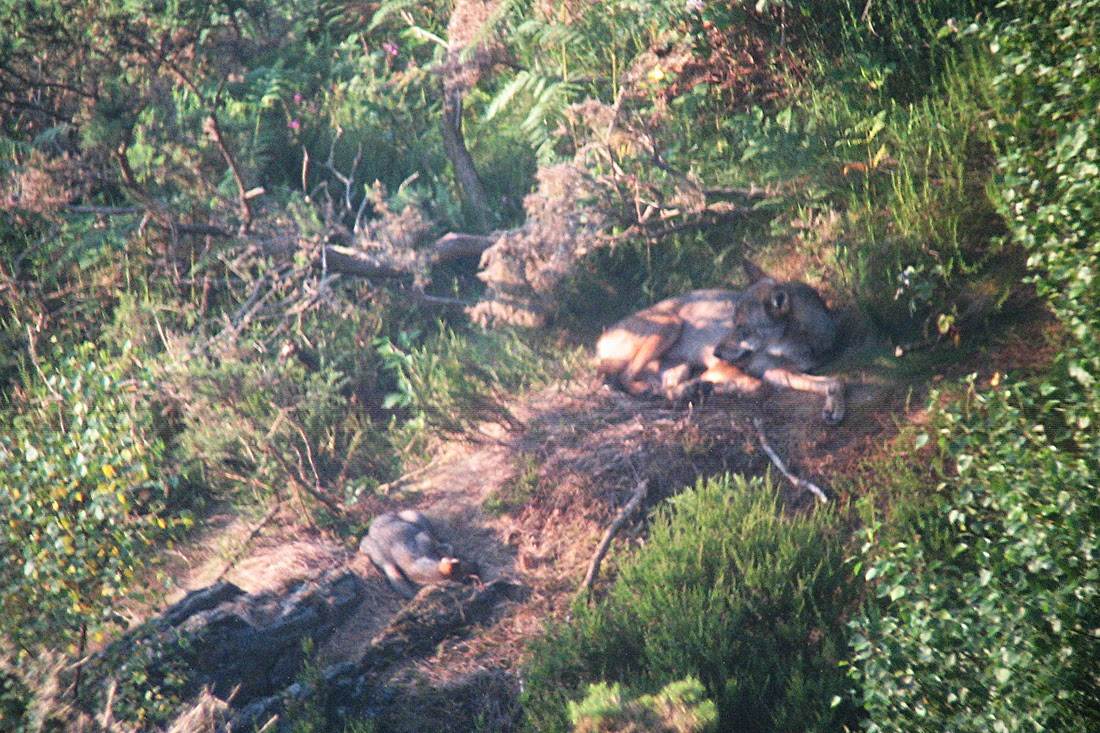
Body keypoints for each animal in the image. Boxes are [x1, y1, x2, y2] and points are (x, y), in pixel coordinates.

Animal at [595, 266, 845, 424]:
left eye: (743, 328)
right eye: (732, 323)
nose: (716, 352)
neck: (794, 347)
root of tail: (599, 342)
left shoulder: (780, 373)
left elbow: (836, 382)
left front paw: (835, 408)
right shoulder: (724, 369)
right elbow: (757, 384)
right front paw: (724, 388)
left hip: (680, 365)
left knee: (666, 390)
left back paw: (690, 389)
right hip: (670, 324)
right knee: (624, 378)